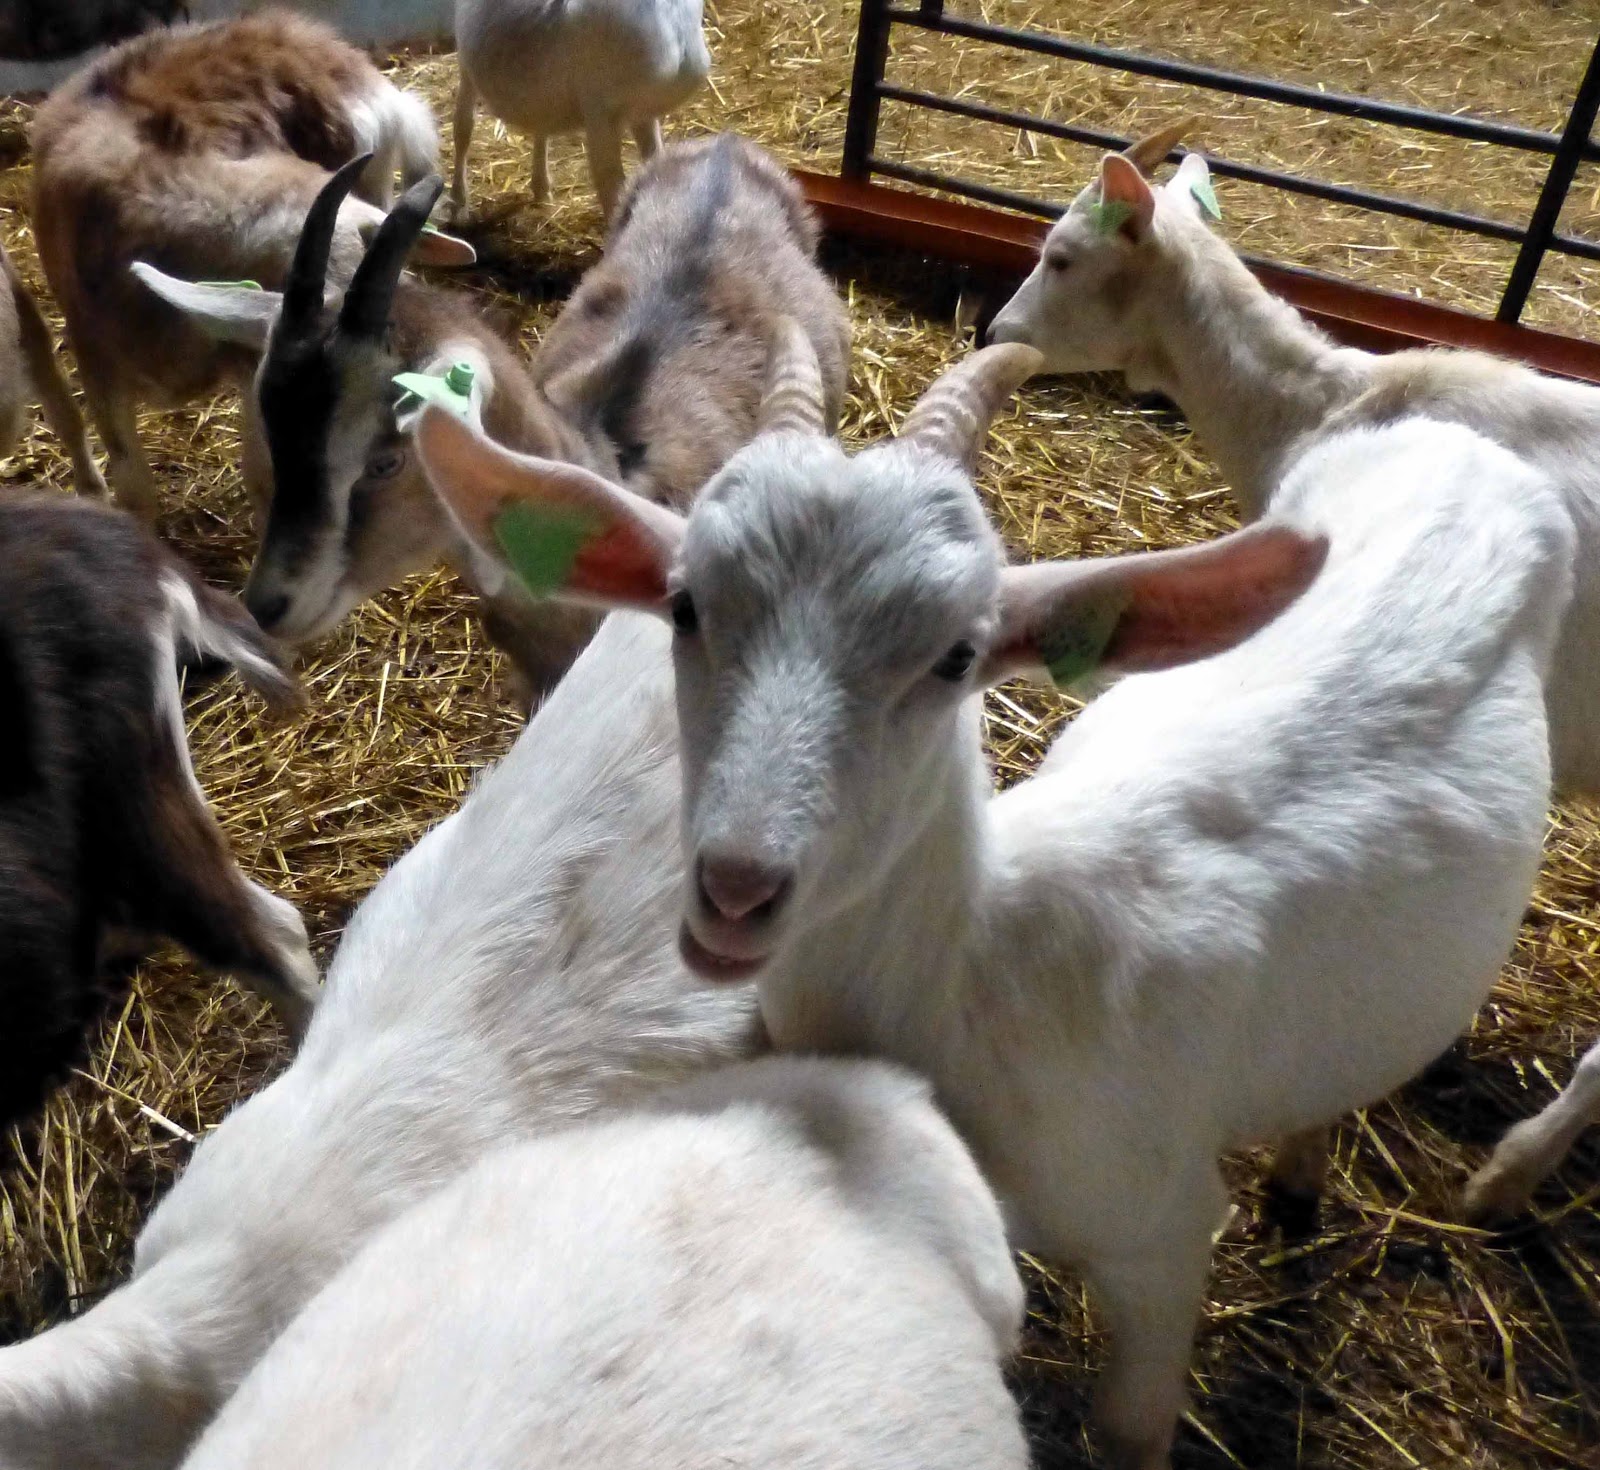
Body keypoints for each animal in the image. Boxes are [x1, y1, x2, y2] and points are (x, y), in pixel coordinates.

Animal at [417, 335, 1574, 1469]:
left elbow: (1130, 1429)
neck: (986, 974)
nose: (738, 888)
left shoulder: (1161, 1228)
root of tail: (1463, 448)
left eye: (957, 655)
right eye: (686, 605)